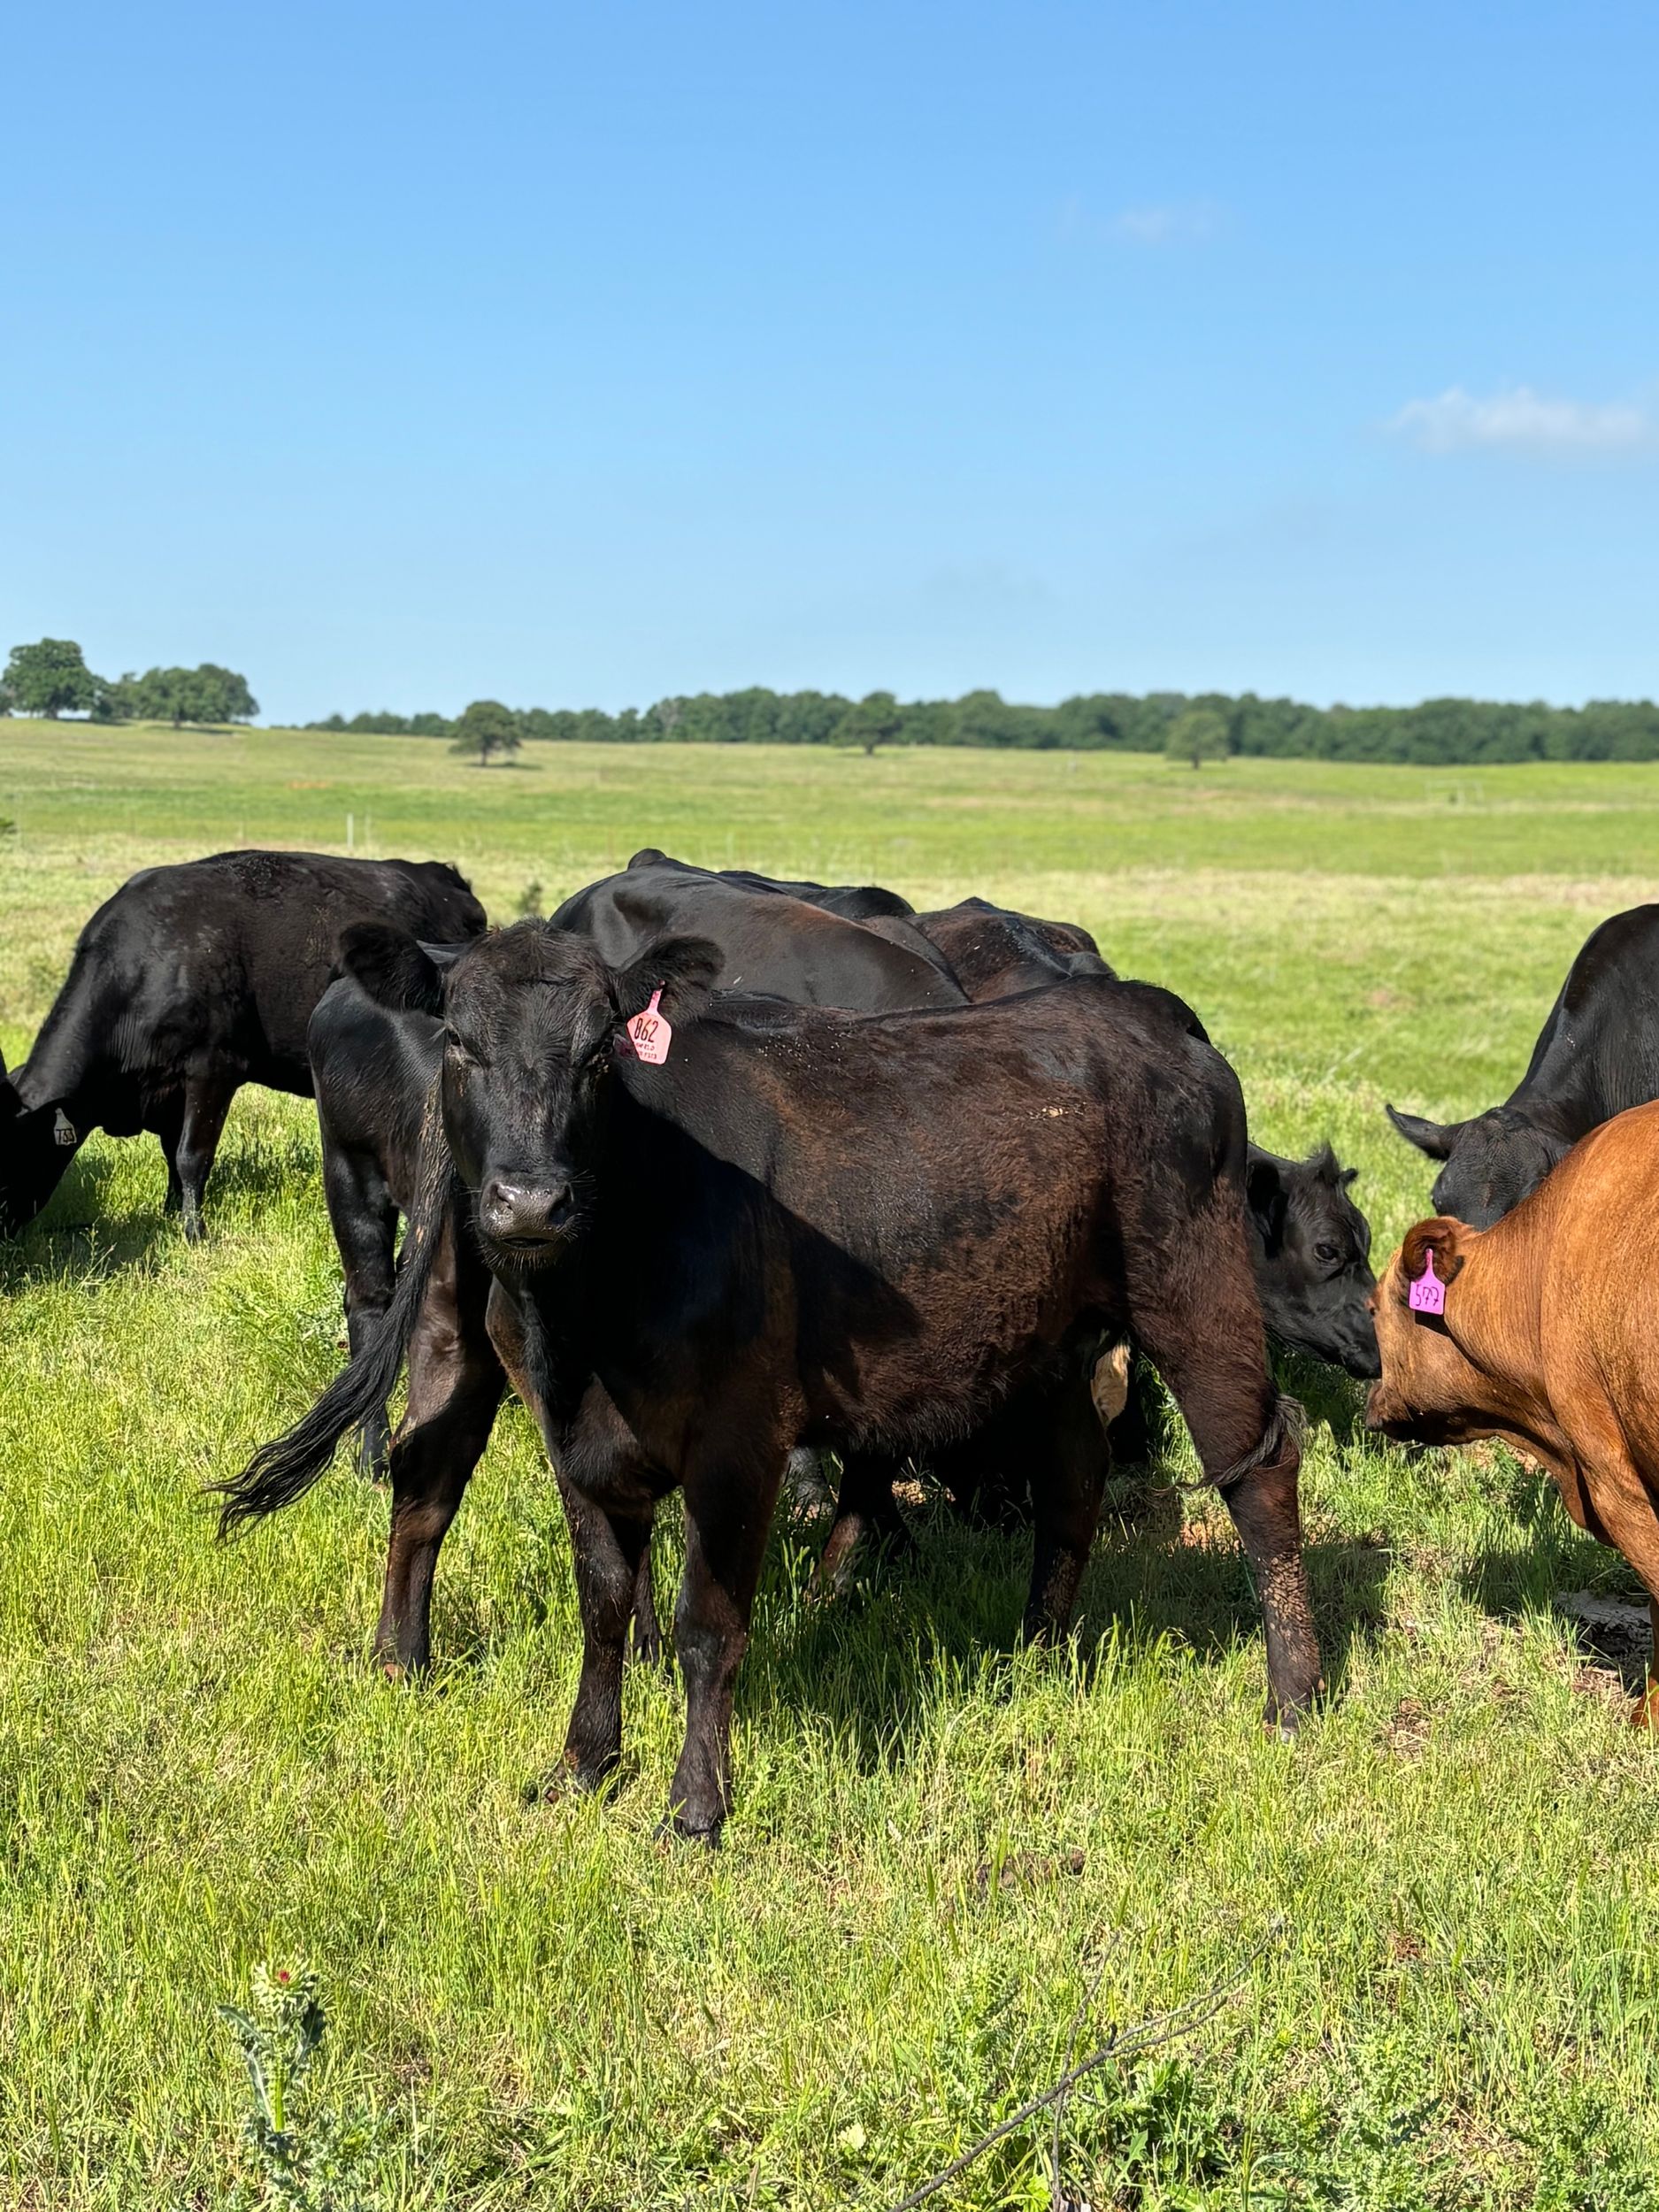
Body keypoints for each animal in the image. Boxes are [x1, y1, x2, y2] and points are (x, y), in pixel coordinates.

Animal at [0, 850, 485, 1239]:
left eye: (13, 1155)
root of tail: (442, 875)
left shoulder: (213, 1068)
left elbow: (191, 1156)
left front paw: (194, 1232)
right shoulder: (168, 1091)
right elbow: (171, 1154)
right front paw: (171, 1212)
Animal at [224, 921, 1321, 1843]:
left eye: (599, 1053)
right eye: (456, 1040)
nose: (530, 1201)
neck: (584, 1313)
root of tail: (1146, 1010)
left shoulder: (739, 1439)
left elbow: (710, 1629)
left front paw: (694, 1806)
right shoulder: (573, 1438)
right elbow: (604, 1606)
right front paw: (582, 1765)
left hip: (1195, 1283)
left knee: (1261, 1470)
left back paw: (1294, 1698)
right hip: (1047, 1329)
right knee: (1077, 1471)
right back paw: (1039, 1656)